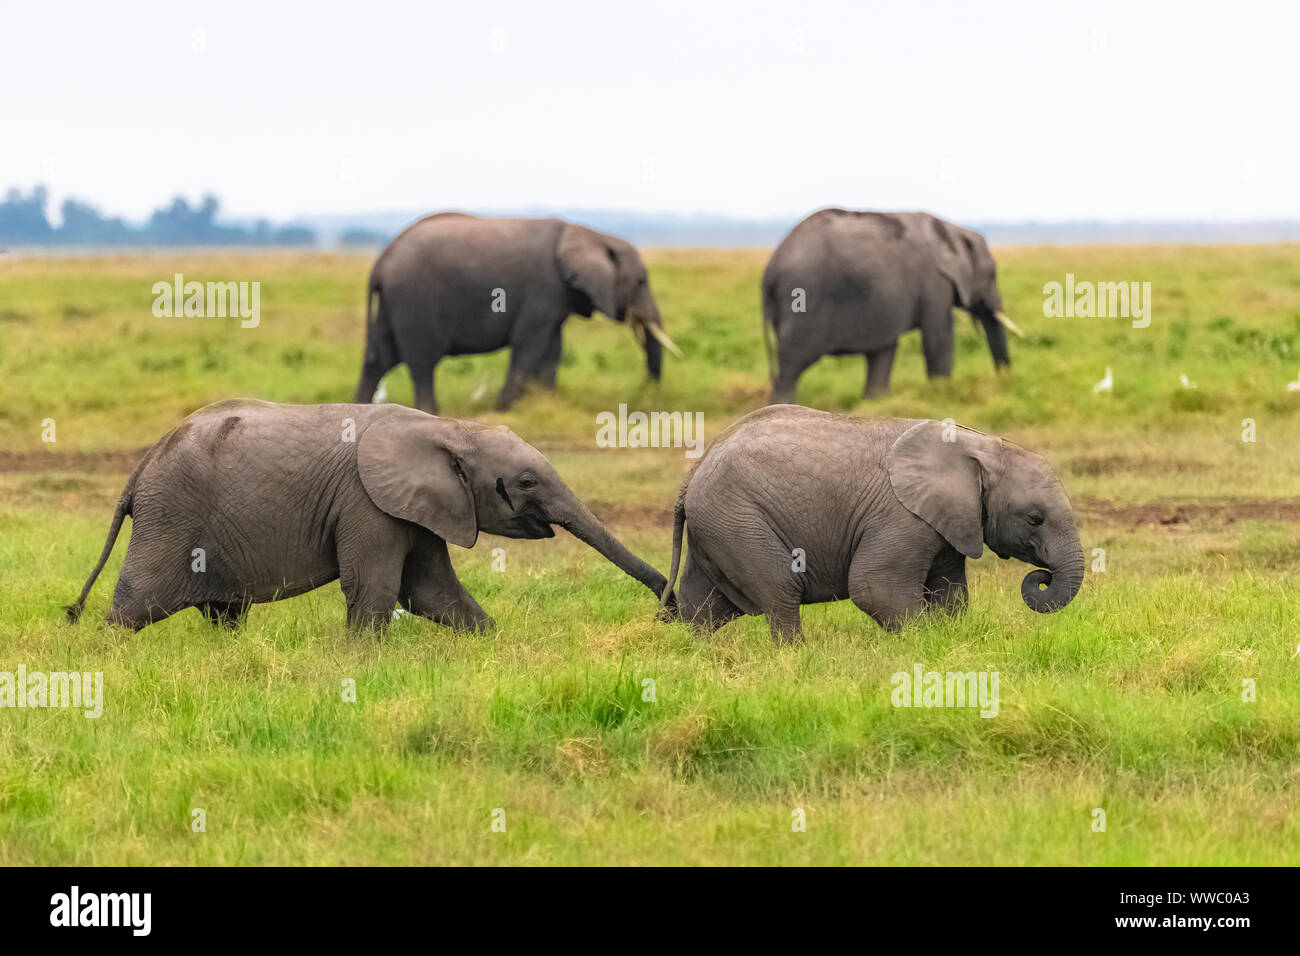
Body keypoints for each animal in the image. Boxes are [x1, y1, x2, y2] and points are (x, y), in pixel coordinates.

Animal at [66, 399, 670, 632]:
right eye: (525, 482)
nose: (667, 599)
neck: (447, 428)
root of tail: (140, 468)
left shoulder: (418, 507)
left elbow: (432, 592)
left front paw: (494, 643)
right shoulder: (366, 503)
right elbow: (376, 589)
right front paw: (358, 666)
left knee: (224, 613)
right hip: (171, 516)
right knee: (135, 604)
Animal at [353, 213, 680, 413]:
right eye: (641, 282)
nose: (646, 394)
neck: (591, 234)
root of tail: (380, 262)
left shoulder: (557, 296)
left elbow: (553, 349)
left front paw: (547, 403)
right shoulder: (543, 287)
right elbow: (530, 345)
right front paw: (504, 409)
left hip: (392, 305)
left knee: (379, 358)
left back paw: (358, 411)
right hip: (413, 299)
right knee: (421, 361)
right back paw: (428, 414)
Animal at [658, 405, 1083, 642]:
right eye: (1035, 519)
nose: (1041, 578)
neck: (979, 448)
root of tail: (692, 473)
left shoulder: (947, 523)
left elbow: (951, 594)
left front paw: (949, 639)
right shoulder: (901, 517)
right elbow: (875, 588)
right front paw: (924, 646)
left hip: (718, 526)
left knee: (703, 607)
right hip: (737, 520)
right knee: (781, 590)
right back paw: (796, 658)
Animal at [761, 209, 1024, 404]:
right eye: (991, 275)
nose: (1003, 383)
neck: (952, 229)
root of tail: (770, 270)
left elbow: (883, 349)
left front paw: (874, 404)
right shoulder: (933, 281)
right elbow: (938, 339)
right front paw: (941, 395)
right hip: (802, 299)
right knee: (791, 364)